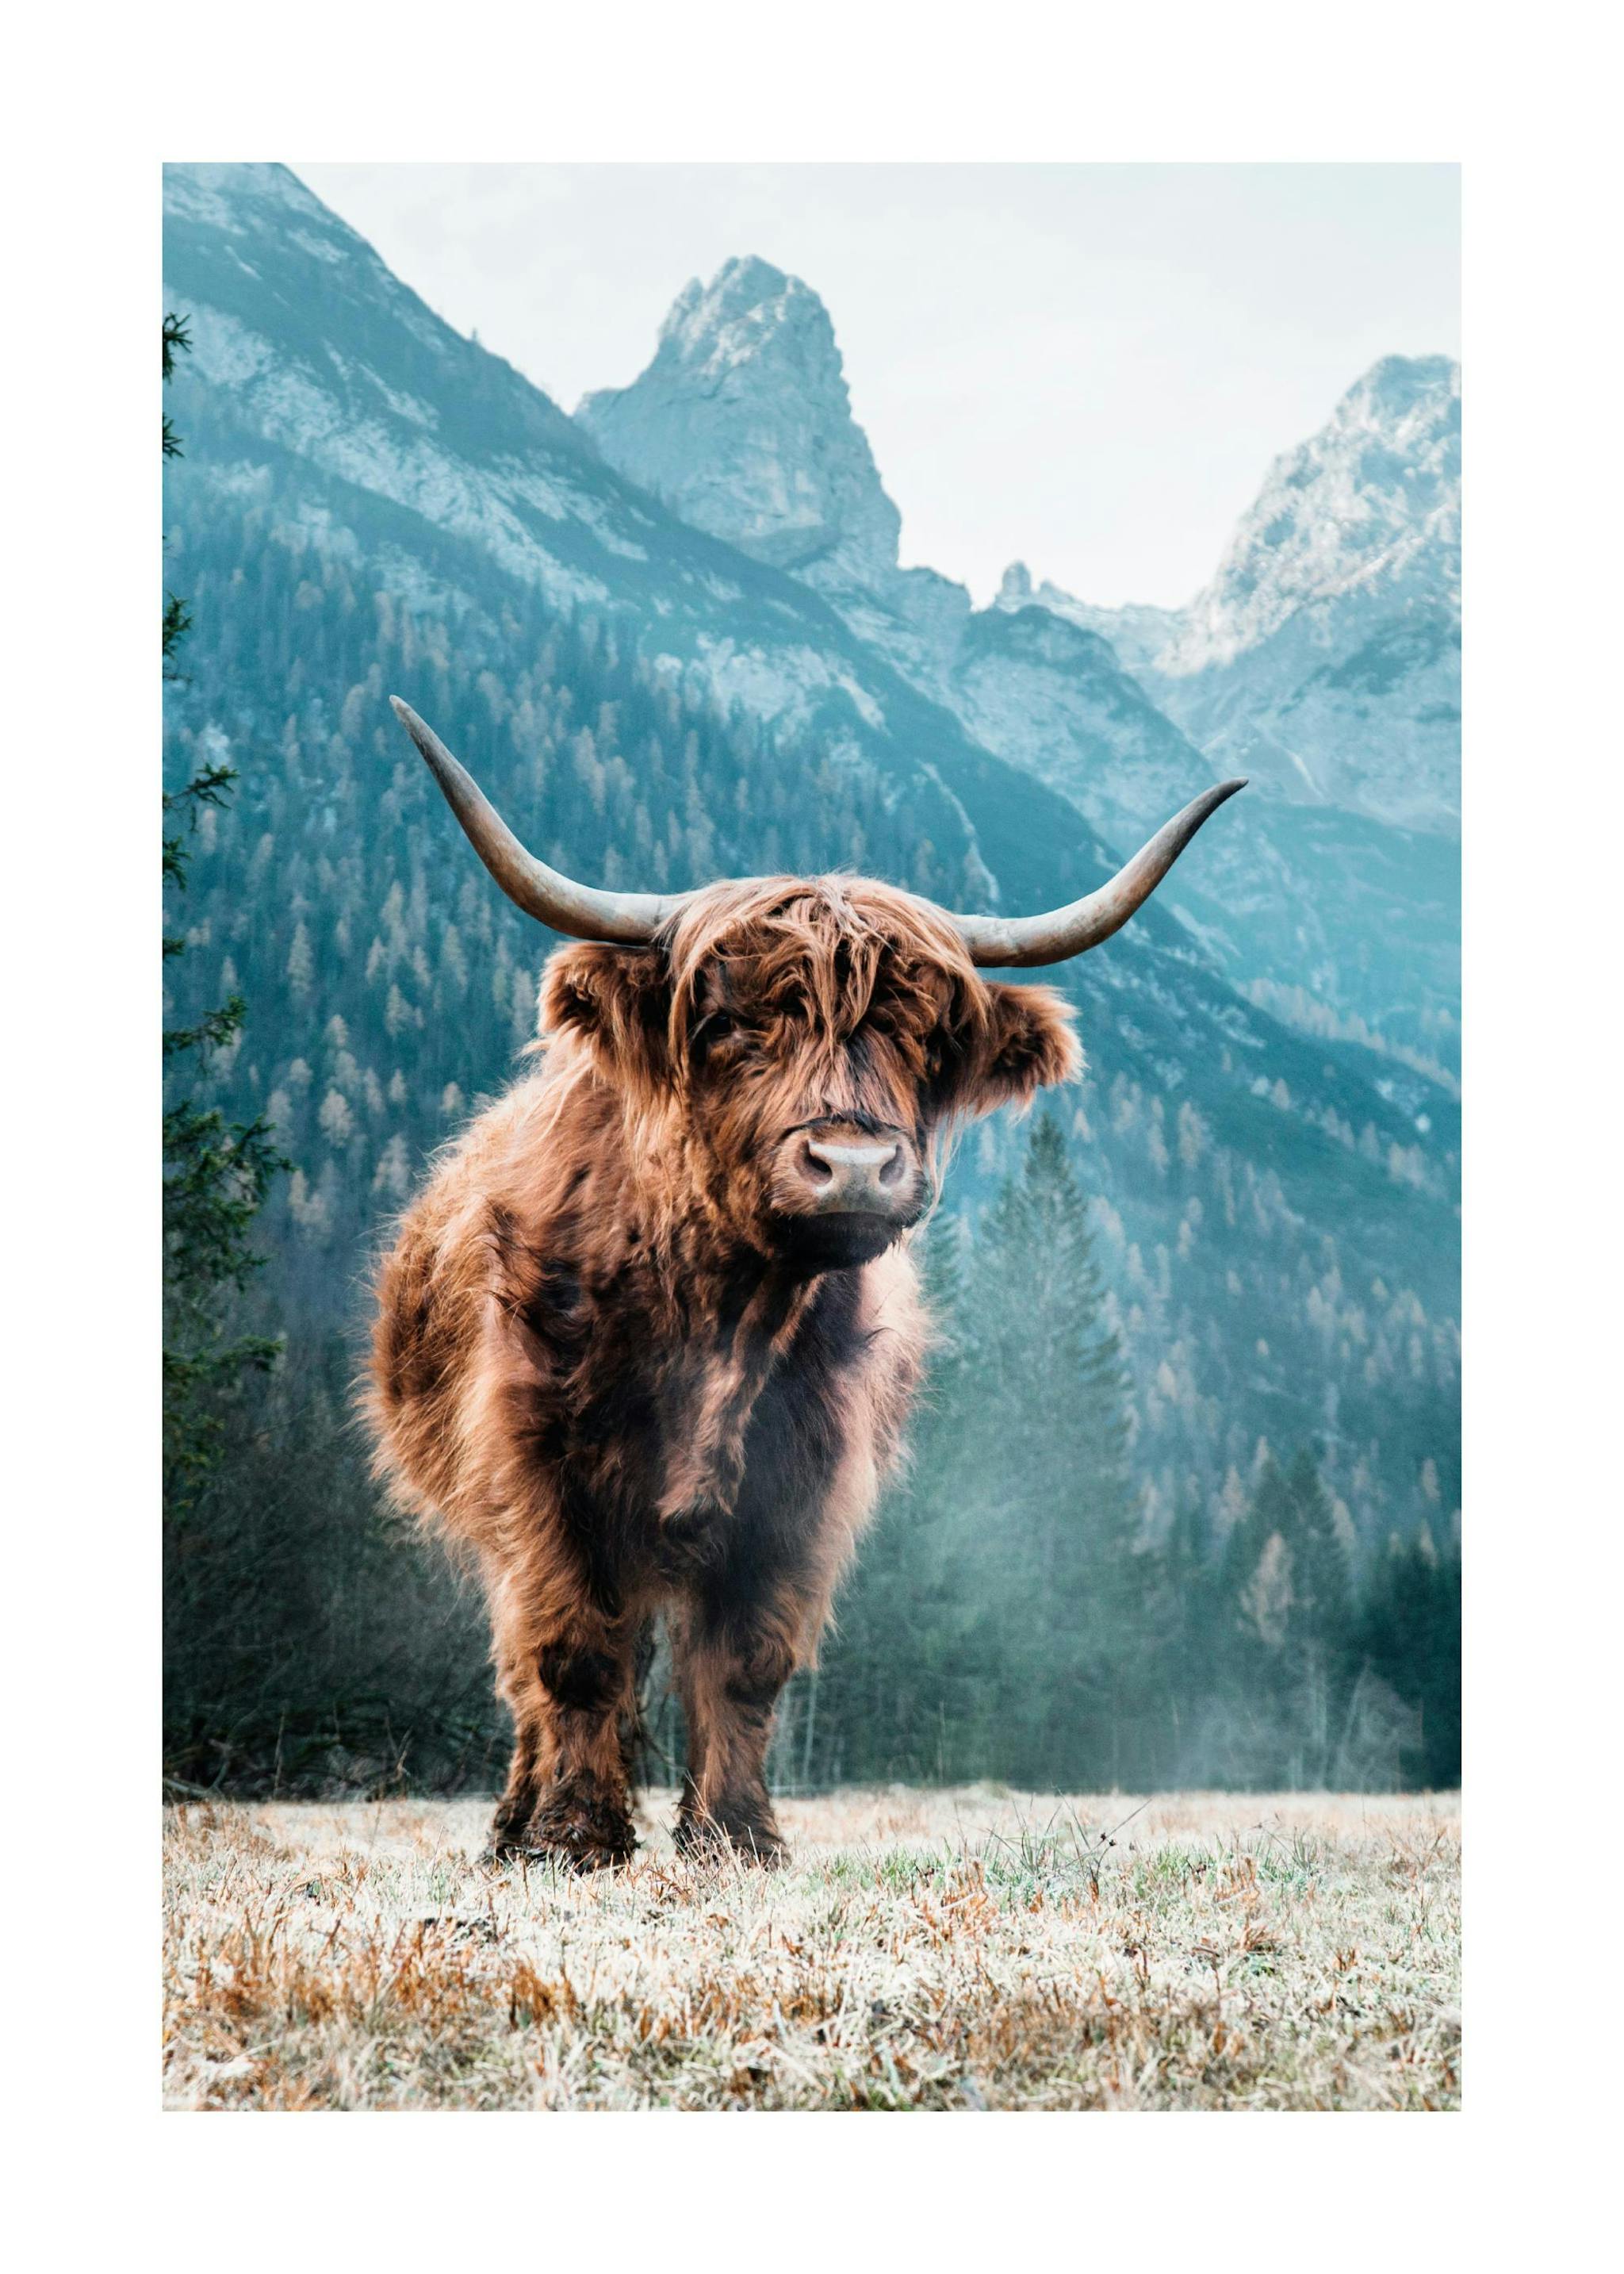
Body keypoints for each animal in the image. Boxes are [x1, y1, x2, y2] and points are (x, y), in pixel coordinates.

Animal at [368, 698, 1242, 1870]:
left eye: (922, 1034)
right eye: (729, 1024)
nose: (855, 1165)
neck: (719, 1313)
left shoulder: (803, 1491)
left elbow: (745, 1662)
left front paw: (736, 1835)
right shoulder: (539, 1472)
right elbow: (573, 1649)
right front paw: (575, 1835)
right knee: (529, 1667)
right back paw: (515, 1825)